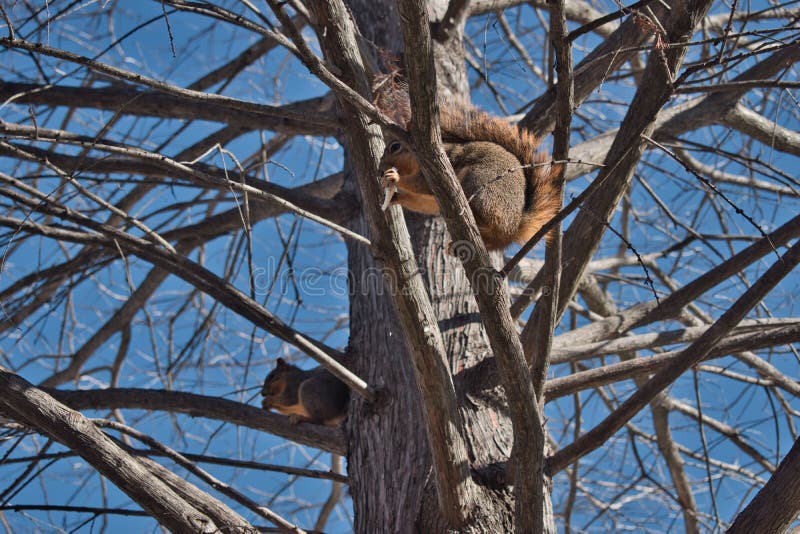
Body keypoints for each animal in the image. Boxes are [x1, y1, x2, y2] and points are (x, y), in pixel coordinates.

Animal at [373, 74, 561, 251]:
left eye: (395, 146)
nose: (380, 171)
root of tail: (514, 226)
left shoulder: (439, 167)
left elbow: (421, 184)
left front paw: (395, 178)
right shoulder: (431, 200)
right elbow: (421, 202)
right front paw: (395, 197)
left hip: (479, 181)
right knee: (494, 240)